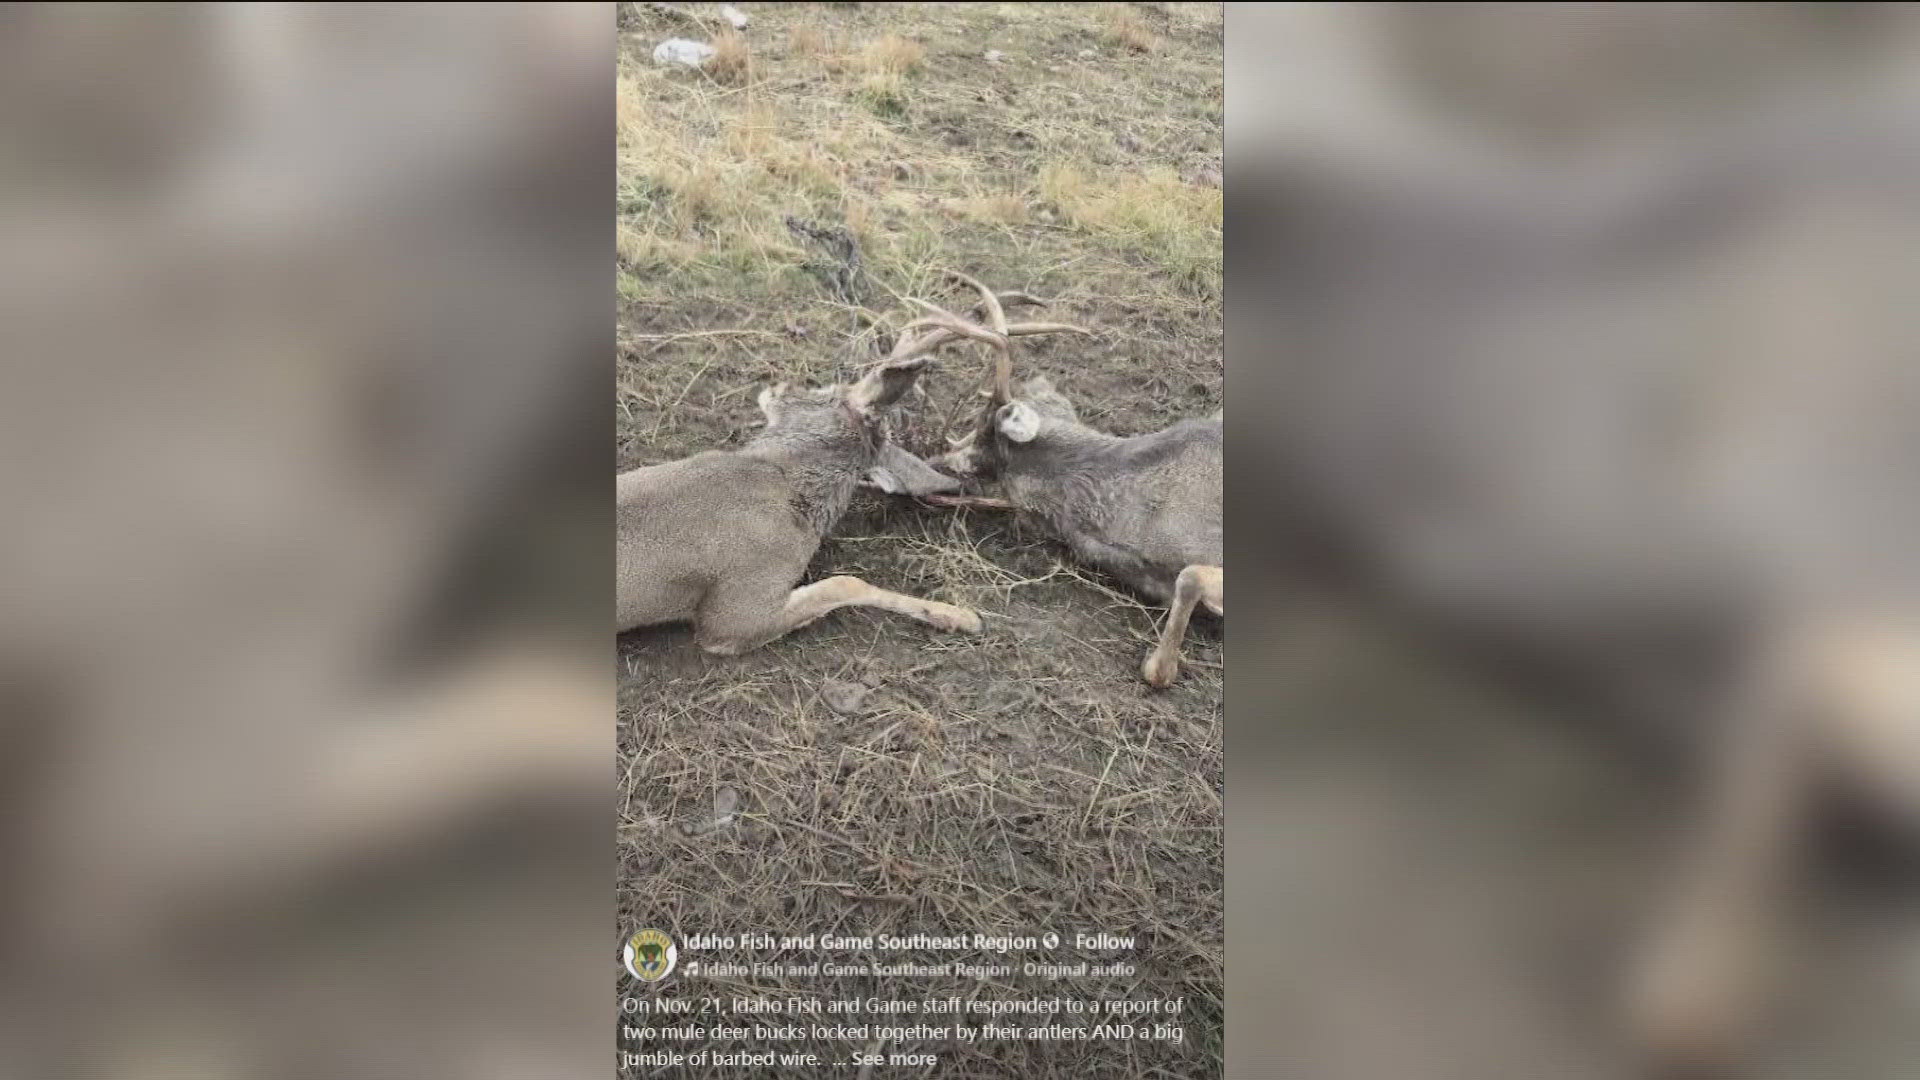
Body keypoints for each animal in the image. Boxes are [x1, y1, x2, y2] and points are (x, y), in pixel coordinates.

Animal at [617, 273, 1090, 654]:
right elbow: (848, 580)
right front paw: (957, 615)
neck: (781, 481)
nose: (779, 384)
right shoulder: (736, 608)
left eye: (825, 388)